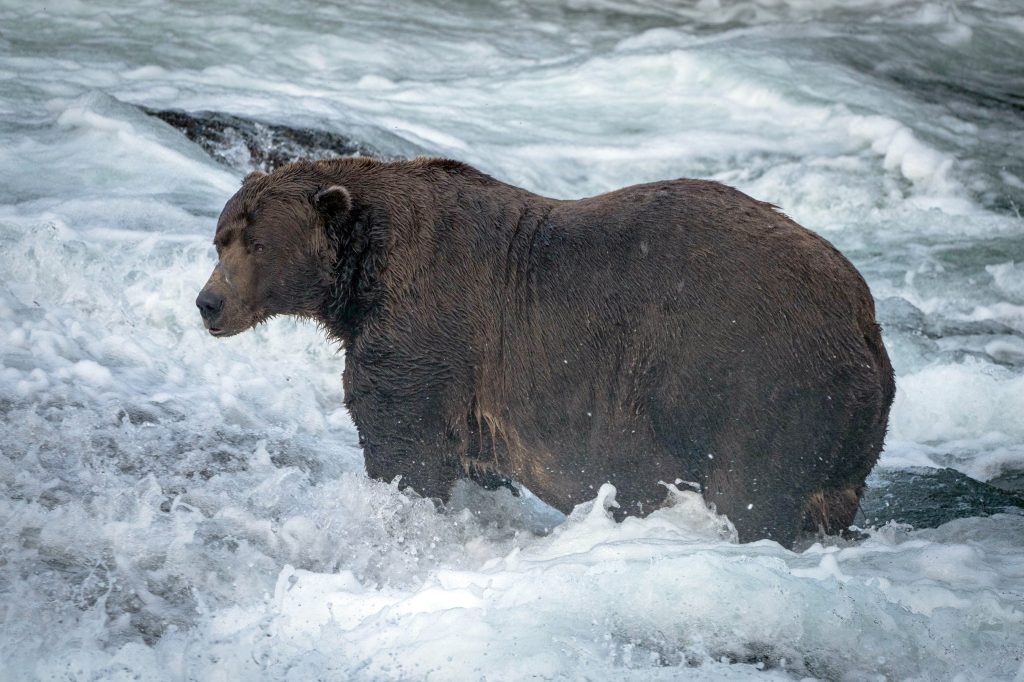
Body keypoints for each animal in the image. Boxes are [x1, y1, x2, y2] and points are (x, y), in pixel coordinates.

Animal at [196, 157, 895, 548]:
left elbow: (404, 443)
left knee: (755, 492)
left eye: (256, 243)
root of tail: (864, 319)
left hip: (758, 385)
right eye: (221, 237)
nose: (208, 303)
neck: (363, 278)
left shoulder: (428, 334)